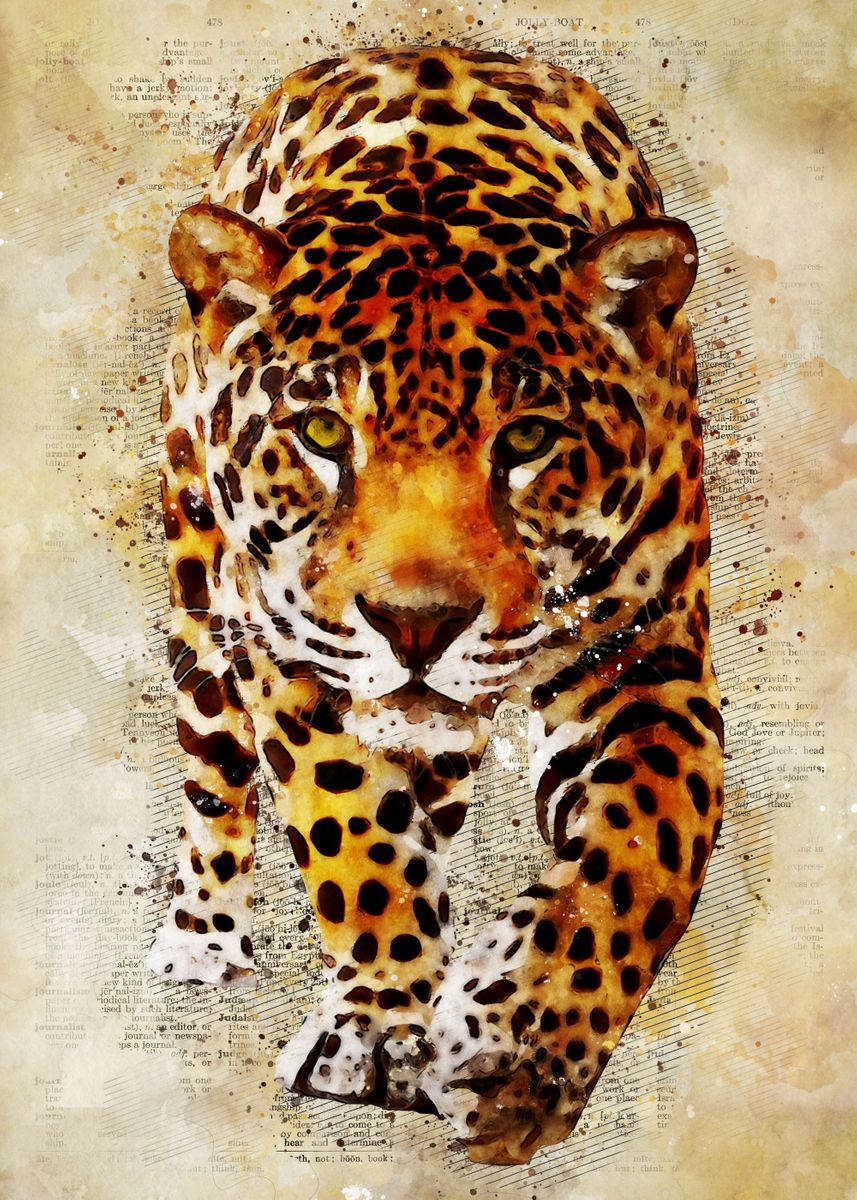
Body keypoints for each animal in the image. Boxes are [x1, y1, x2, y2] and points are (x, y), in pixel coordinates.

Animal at [147, 45, 723, 1165]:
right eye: (323, 433)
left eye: (528, 438)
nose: (416, 624)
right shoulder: (291, 650)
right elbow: (349, 826)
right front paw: (379, 1026)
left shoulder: (648, 658)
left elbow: (645, 848)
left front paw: (517, 1049)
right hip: (201, 595)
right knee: (214, 771)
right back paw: (202, 936)